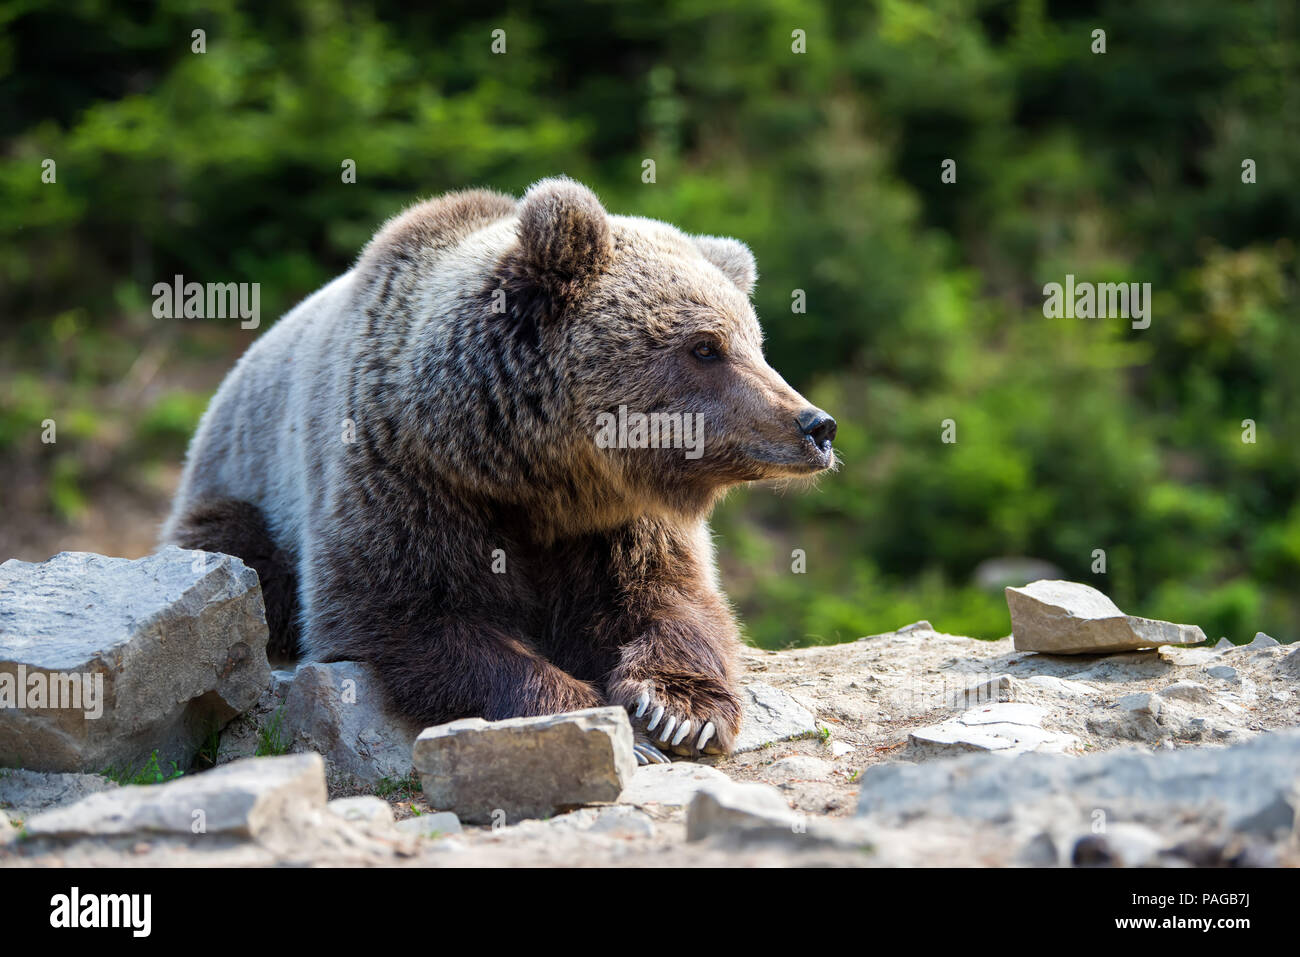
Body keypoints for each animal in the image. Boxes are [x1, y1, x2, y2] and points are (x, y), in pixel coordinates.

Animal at [161, 177, 837, 763]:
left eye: (755, 344)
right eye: (705, 347)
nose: (816, 426)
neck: (533, 469)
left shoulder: (620, 514)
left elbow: (672, 594)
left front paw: (676, 710)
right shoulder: (403, 473)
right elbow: (407, 614)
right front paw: (601, 718)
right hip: (241, 492)